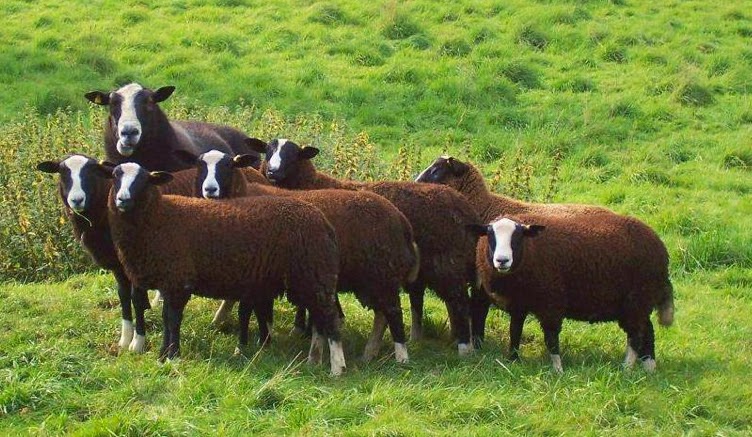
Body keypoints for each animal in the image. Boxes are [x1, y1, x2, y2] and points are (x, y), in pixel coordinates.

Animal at [36, 155, 199, 353]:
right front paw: (124, 338)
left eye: (92, 171)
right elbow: (123, 296)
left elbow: (136, 299)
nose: (76, 200)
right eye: (62, 172)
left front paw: (138, 342)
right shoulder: (116, 265)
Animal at [104, 162, 347, 375]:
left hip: (314, 274)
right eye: (115, 176)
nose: (122, 199)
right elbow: (167, 319)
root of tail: (324, 223)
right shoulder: (169, 281)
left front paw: (171, 356)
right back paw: (314, 359)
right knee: (320, 319)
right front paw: (165, 354)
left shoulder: (179, 280)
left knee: (330, 318)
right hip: (310, 277)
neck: (160, 217)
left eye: (144, 180)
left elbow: (172, 320)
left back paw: (337, 368)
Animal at [176, 149, 419, 362]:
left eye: (228, 165)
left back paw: (401, 357)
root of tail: (400, 219)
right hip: (370, 279)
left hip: (381, 273)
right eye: (199, 165)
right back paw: (369, 353)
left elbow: (247, 308)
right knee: (381, 314)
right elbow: (259, 309)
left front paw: (248, 344)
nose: (210, 190)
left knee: (393, 312)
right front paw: (264, 340)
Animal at [249, 139, 481, 355]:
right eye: (267, 150)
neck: (310, 185)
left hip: (446, 263)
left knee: (460, 302)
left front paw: (304, 328)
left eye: (293, 154)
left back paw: (464, 347)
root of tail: (466, 208)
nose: (272, 172)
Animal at [467, 214, 675, 373]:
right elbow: (515, 332)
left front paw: (558, 370)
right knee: (648, 330)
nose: (502, 260)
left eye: (518, 237)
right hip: (637, 303)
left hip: (638, 299)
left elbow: (551, 339)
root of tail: (662, 251)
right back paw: (649, 367)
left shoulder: (551, 302)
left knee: (636, 335)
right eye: (490, 235)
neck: (530, 253)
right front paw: (513, 361)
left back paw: (627, 368)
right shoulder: (519, 304)